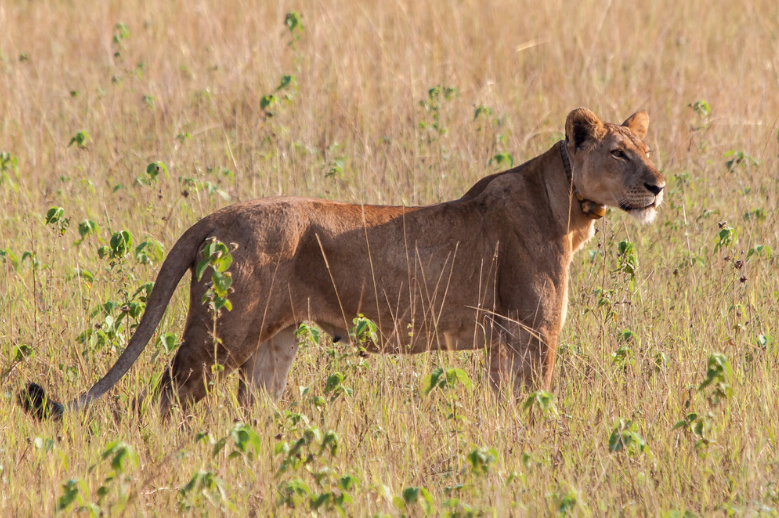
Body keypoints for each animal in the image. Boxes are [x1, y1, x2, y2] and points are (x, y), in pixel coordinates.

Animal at [20, 107, 664, 419]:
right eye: (618, 153)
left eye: (648, 151)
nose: (659, 186)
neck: (570, 207)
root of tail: (219, 215)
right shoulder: (534, 332)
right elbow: (536, 407)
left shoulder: (505, 340)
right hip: (221, 333)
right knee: (165, 394)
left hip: (273, 343)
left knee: (251, 407)